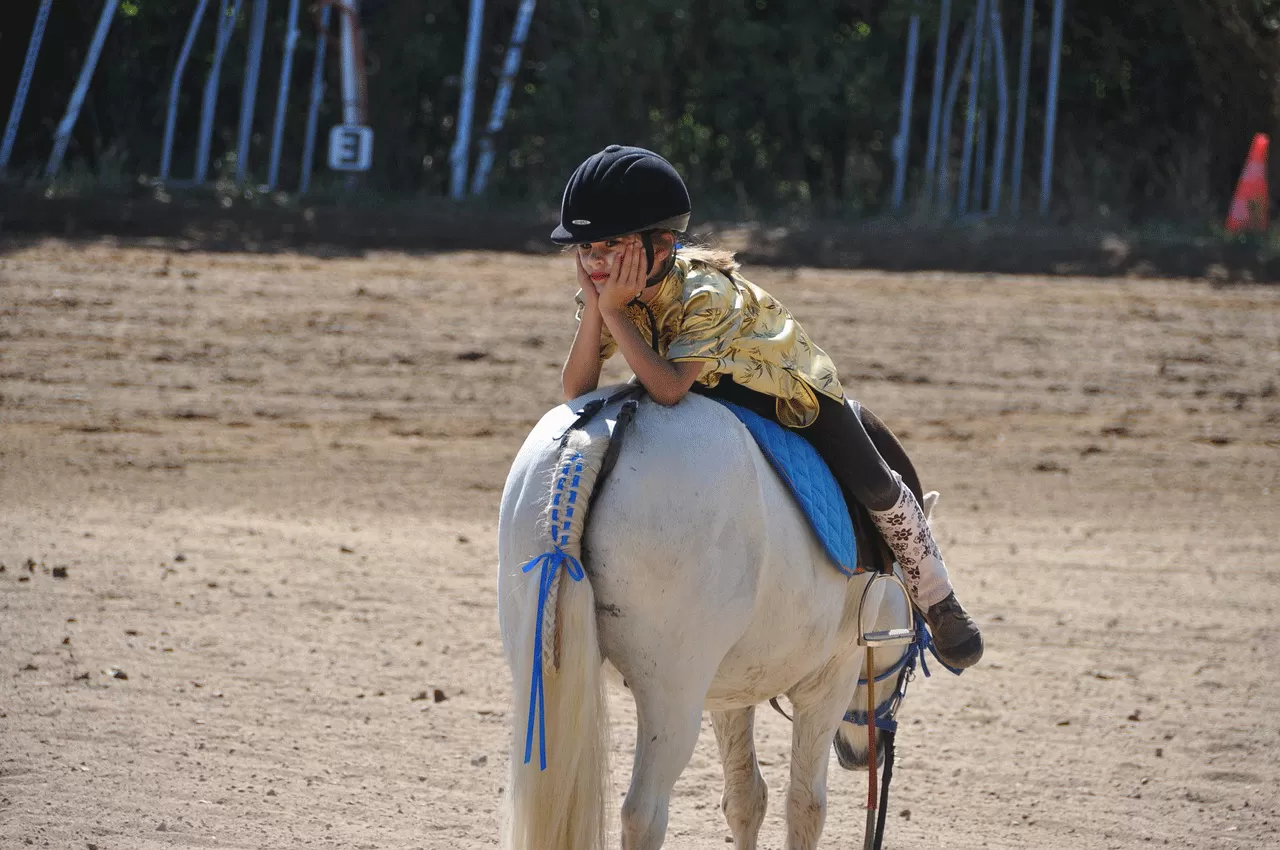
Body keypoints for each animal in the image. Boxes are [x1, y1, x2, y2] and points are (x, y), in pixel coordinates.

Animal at [494, 389, 926, 850]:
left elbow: (745, 798)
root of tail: (590, 443)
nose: (863, 755)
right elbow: (806, 805)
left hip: (543, 677)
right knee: (643, 814)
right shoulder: (831, 679)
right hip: (671, 701)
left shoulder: (731, 691)